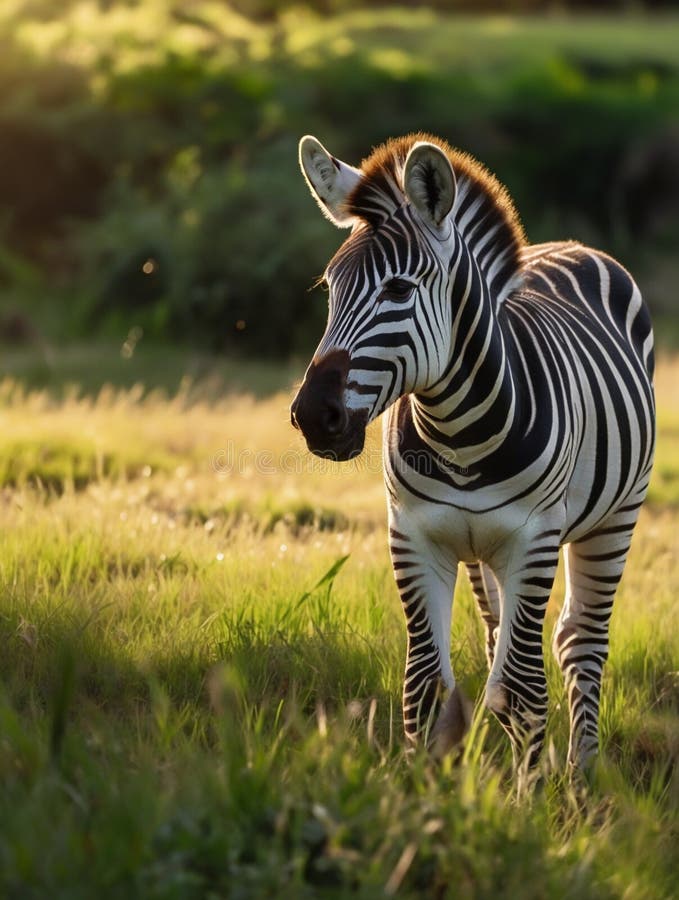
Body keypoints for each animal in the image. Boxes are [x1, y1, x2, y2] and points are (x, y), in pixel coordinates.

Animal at [290, 132, 655, 775]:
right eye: (331, 289)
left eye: (398, 289)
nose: (313, 415)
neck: (458, 434)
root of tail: (575, 246)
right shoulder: (414, 536)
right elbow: (426, 685)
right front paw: (429, 786)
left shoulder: (533, 539)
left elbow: (523, 689)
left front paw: (528, 797)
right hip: (484, 552)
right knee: (495, 638)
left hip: (615, 517)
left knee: (580, 641)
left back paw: (580, 777)